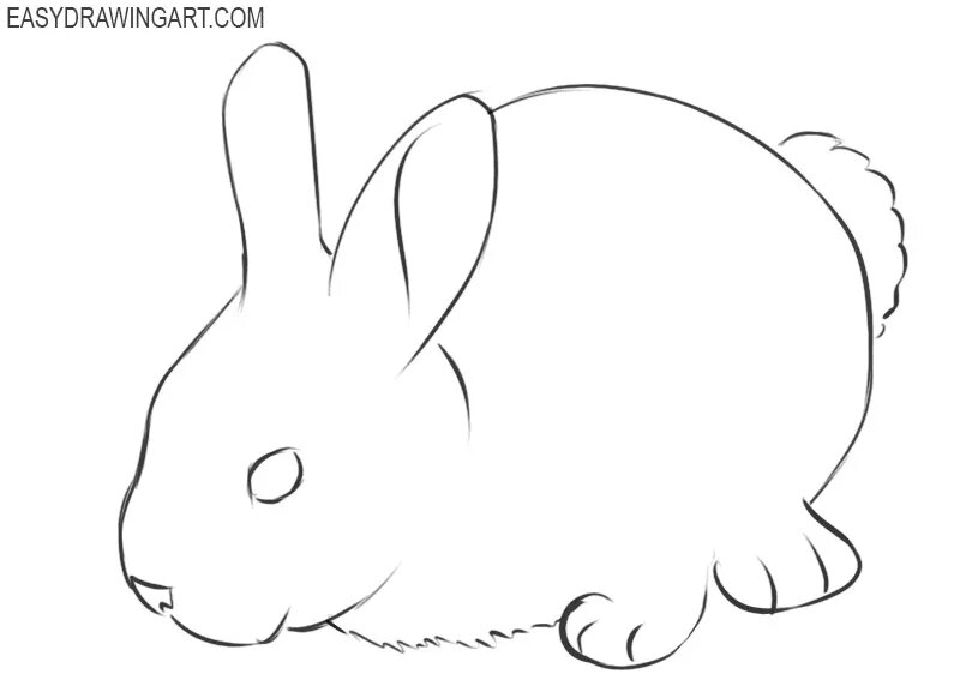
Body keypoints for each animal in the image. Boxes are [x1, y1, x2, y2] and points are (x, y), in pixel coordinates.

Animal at [118, 42, 906, 668]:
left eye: (279, 475)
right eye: (160, 417)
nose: (148, 586)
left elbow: (665, 580)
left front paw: (618, 632)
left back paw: (786, 568)